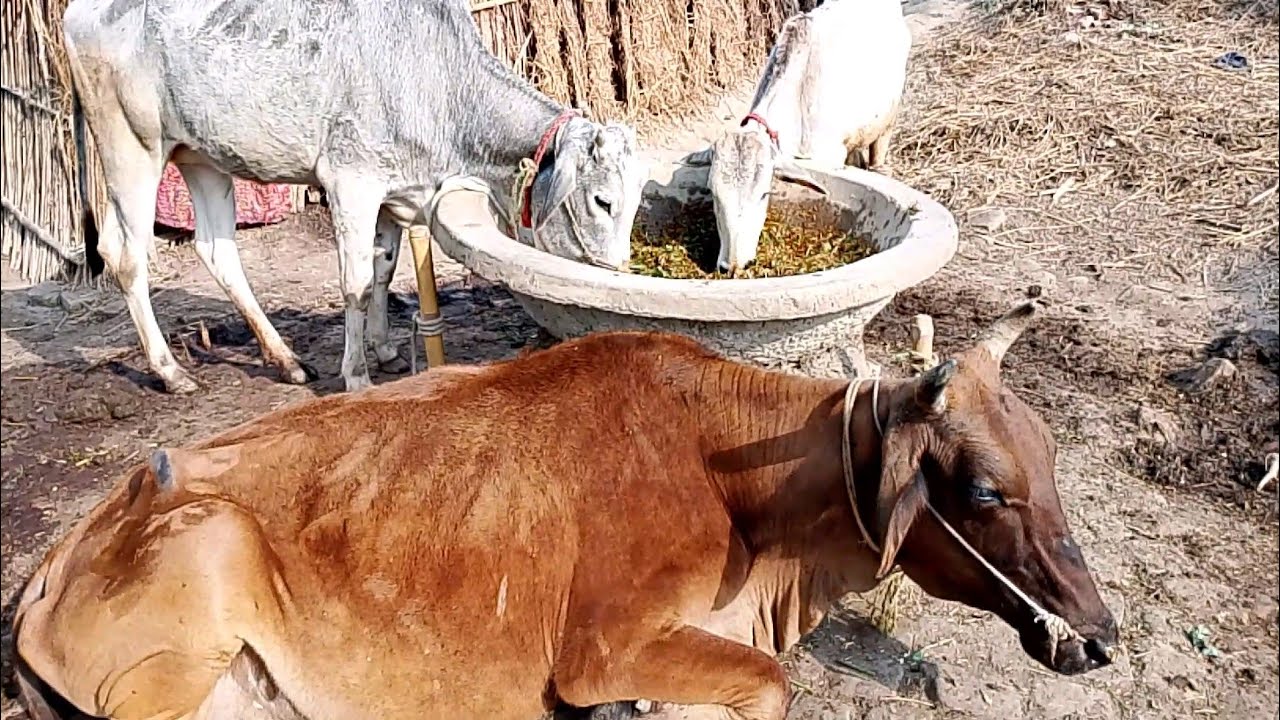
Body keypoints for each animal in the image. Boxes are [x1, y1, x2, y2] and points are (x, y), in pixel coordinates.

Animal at [13, 300, 1118, 720]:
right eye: (984, 491)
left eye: (1051, 463)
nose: (1100, 637)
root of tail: (47, 571)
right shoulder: (601, 650)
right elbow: (765, 686)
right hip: (200, 572)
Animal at [62, 0, 645, 395]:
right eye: (602, 201)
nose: (618, 271)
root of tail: (78, 10)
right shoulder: (352, 183)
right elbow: (356, 283)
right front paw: (358, 375)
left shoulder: (395, 193)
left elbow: (384, 269)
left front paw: (385, 350)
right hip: (132, 146)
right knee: (125, 253)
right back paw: (171, 371)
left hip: (201, 156)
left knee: (216, 250)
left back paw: (286, 360)